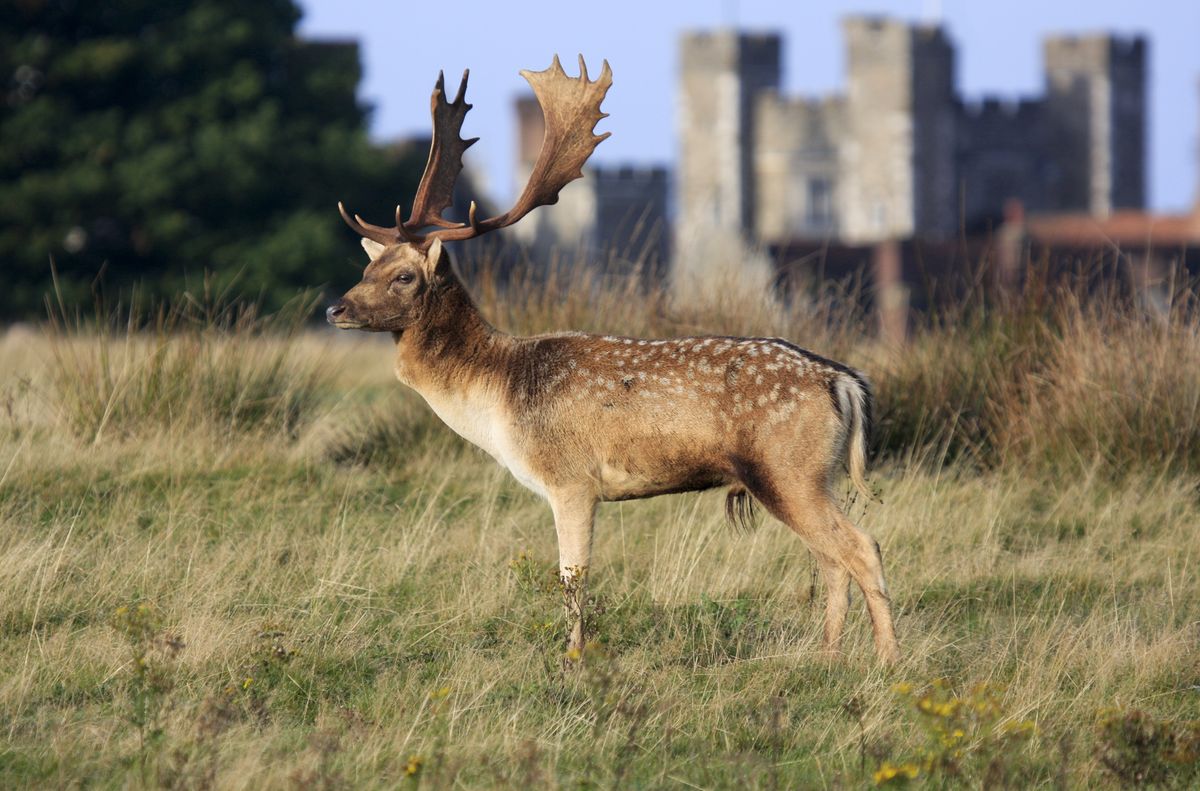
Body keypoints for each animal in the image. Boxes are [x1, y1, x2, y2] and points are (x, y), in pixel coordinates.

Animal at [325, 56, 900, 664]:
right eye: (367, 268)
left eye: (403, 276)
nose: (336, 308)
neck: (497, 395)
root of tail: (844, 382)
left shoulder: (570, 478)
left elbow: (572, 576)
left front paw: (573, 659)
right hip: (807, 476)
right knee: (831, 560)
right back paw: (828, 657)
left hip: (789, 468)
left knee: (862, 547)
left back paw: (887, 662)